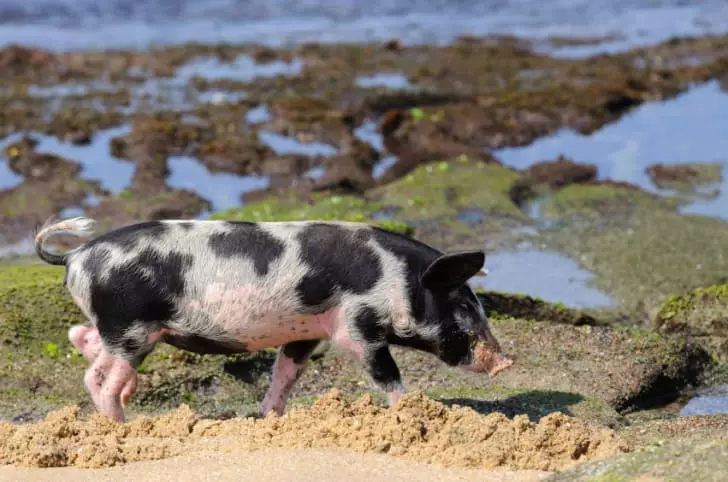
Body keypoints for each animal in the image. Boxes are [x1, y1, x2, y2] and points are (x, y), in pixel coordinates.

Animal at [34, 216, 512, 422]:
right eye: (464, 306)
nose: (504, 361)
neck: (394, 277)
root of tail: (76, 256)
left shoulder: (306, 332)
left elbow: (286, 372)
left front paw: (271, 418)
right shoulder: (358, 326)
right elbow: (386, 374)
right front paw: (411, 411)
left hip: (123, 330)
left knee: (82, 339)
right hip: (130, 328)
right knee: (99, 380)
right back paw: (125, 424)